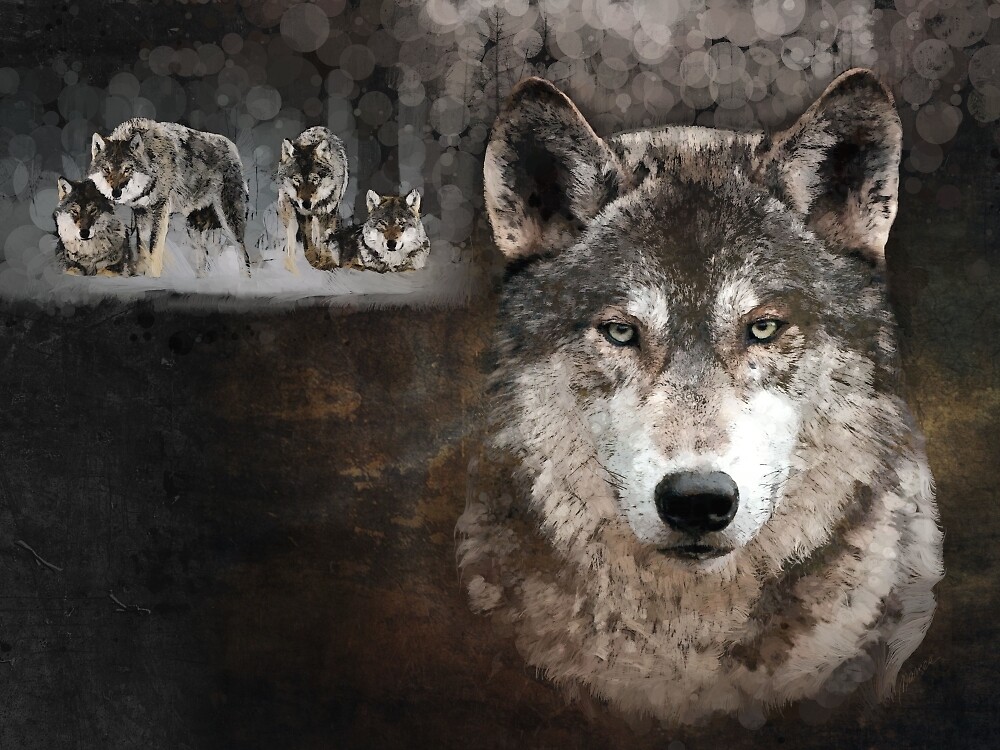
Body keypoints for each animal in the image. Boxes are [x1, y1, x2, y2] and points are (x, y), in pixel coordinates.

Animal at [89, 119, 251, 278]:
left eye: (127, 169)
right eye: (106, 169)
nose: (116, 193)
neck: (152, 161)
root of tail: (233, 148)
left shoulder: (161, 209)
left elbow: (155, 249)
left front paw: (154, 277)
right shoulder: (140, 212)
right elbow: (142, 247)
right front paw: (141, 275)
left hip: (228, 221)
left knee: (242, 252)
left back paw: (245, 281)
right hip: (193, 227)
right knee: (203, 256)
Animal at [275, 126, 349, 273]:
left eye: (315, 179)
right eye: (296, 179)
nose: (306, 203)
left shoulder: (328, 213)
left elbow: (324, 238)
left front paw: (325, 262)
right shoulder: (302, 214)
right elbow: (307, 240)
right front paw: (313, 259)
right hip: (288, 210)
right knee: (291, 239)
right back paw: (290, 264)